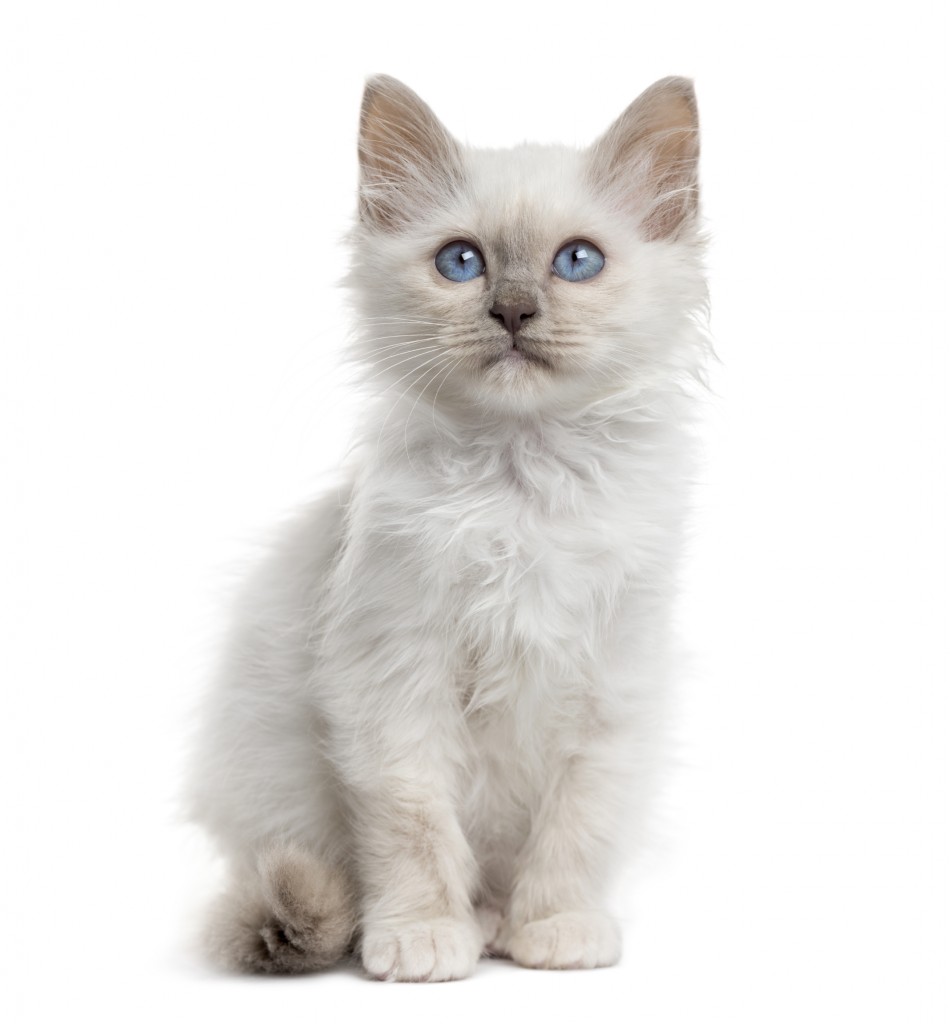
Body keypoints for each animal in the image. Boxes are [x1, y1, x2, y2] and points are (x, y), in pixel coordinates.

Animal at [187, 74, 704, 983]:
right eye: (461, 262)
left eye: (578, 261)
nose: (513, 310)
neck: (523, 483)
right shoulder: (392, 678)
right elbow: (413, 829)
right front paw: (422, 937)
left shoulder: (611, 687)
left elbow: (577, 826)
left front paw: (558, 928)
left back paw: (502, 923)